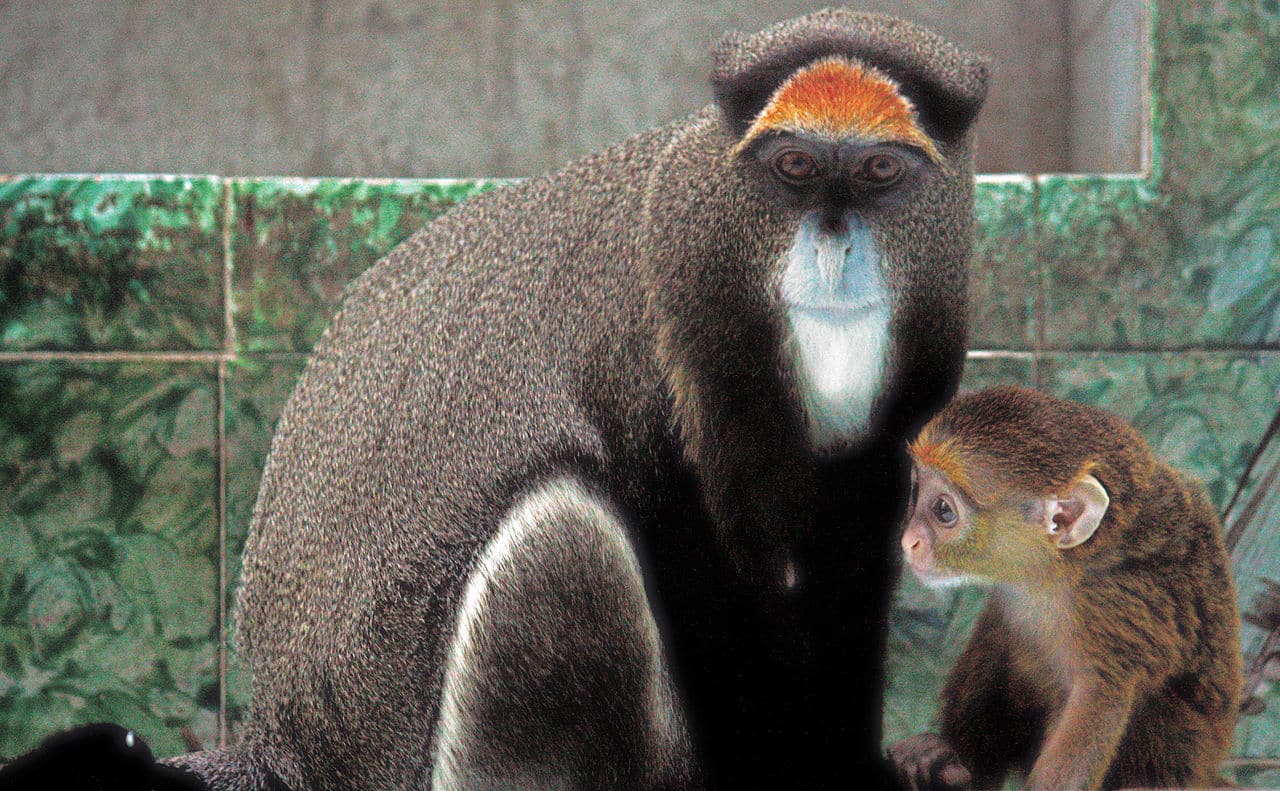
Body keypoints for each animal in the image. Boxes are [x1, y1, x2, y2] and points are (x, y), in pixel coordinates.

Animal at [166, 10, 989, 790]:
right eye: (794, 165)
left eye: (880, 168)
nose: (834, 248)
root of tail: (281, 745)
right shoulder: (680, 332)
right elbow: (709, 571)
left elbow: (850, 567)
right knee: (563, 534)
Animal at [888, 386, 1243, 791]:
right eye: (916, 490)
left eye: (944, 511)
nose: (909, 541)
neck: (1060, 572)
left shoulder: (1115, 604)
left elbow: (1099, 696)